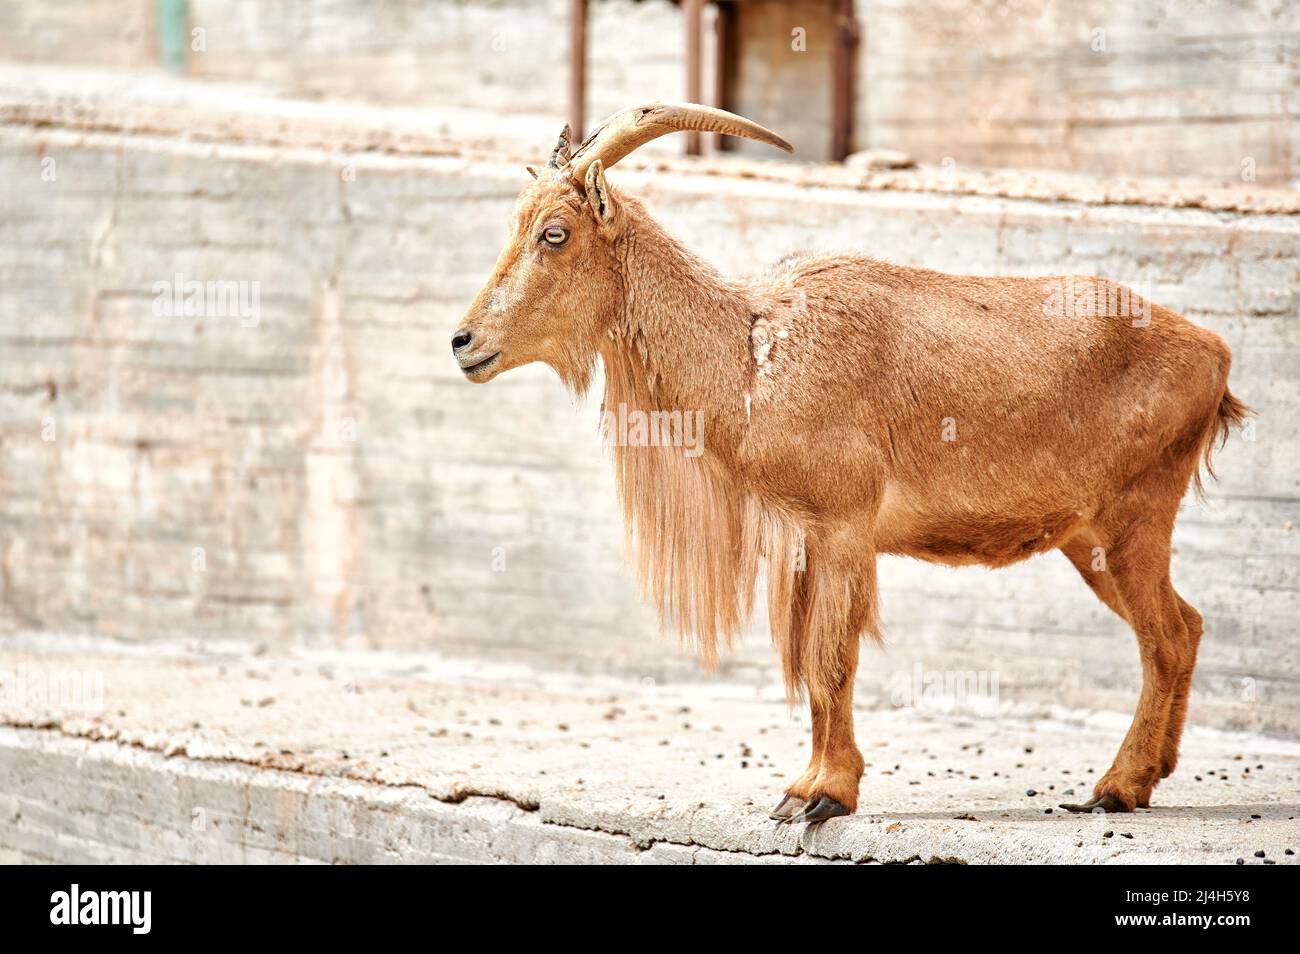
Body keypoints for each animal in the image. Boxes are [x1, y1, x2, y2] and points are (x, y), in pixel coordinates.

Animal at [453, 103, 1249, 822]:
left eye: (556, 234)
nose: (464, 343)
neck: (750, 357)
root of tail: (1214, 354)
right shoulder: (807, 540)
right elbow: (811, 665)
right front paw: (803, 787)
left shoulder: (842, 528)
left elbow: (831, 660)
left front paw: (824, 796)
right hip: (1088, 540)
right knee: (1187, 625)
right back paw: (1150, 775)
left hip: (1135, 519)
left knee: (1165, 638)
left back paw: (1116, 786)